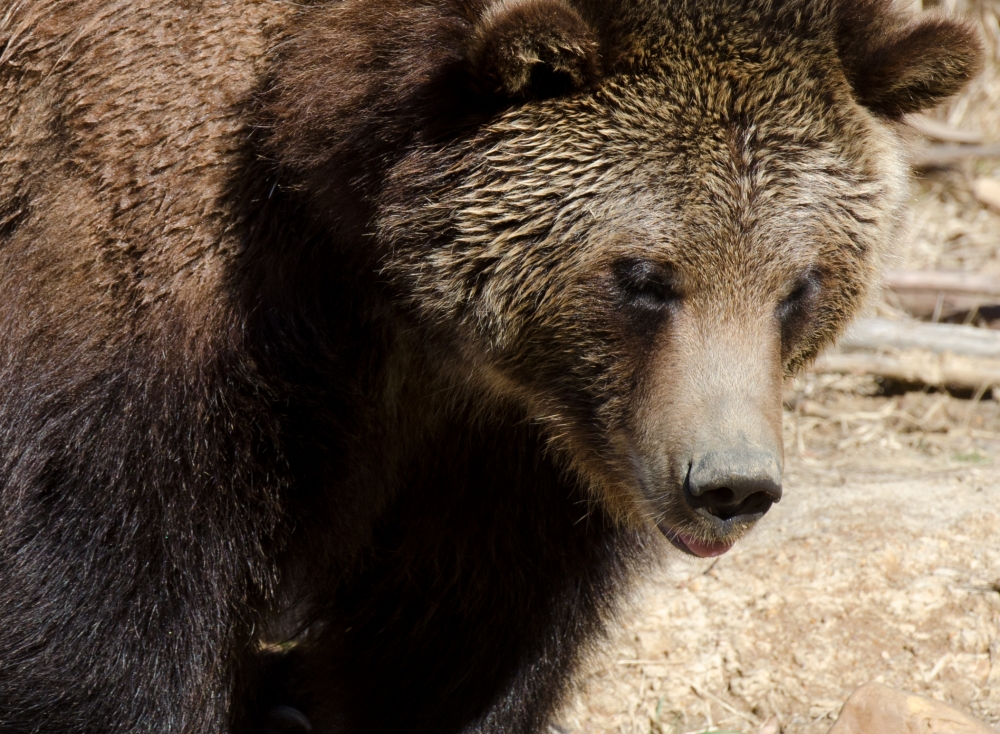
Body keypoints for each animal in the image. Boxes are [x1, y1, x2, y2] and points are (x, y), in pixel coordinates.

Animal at [0, 0, 980, 732]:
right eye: (644, 275)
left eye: (800, 285)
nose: (730, 484)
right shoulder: (158, 285)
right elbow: (109, 618)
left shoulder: (512, 449)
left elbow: (458, 634)